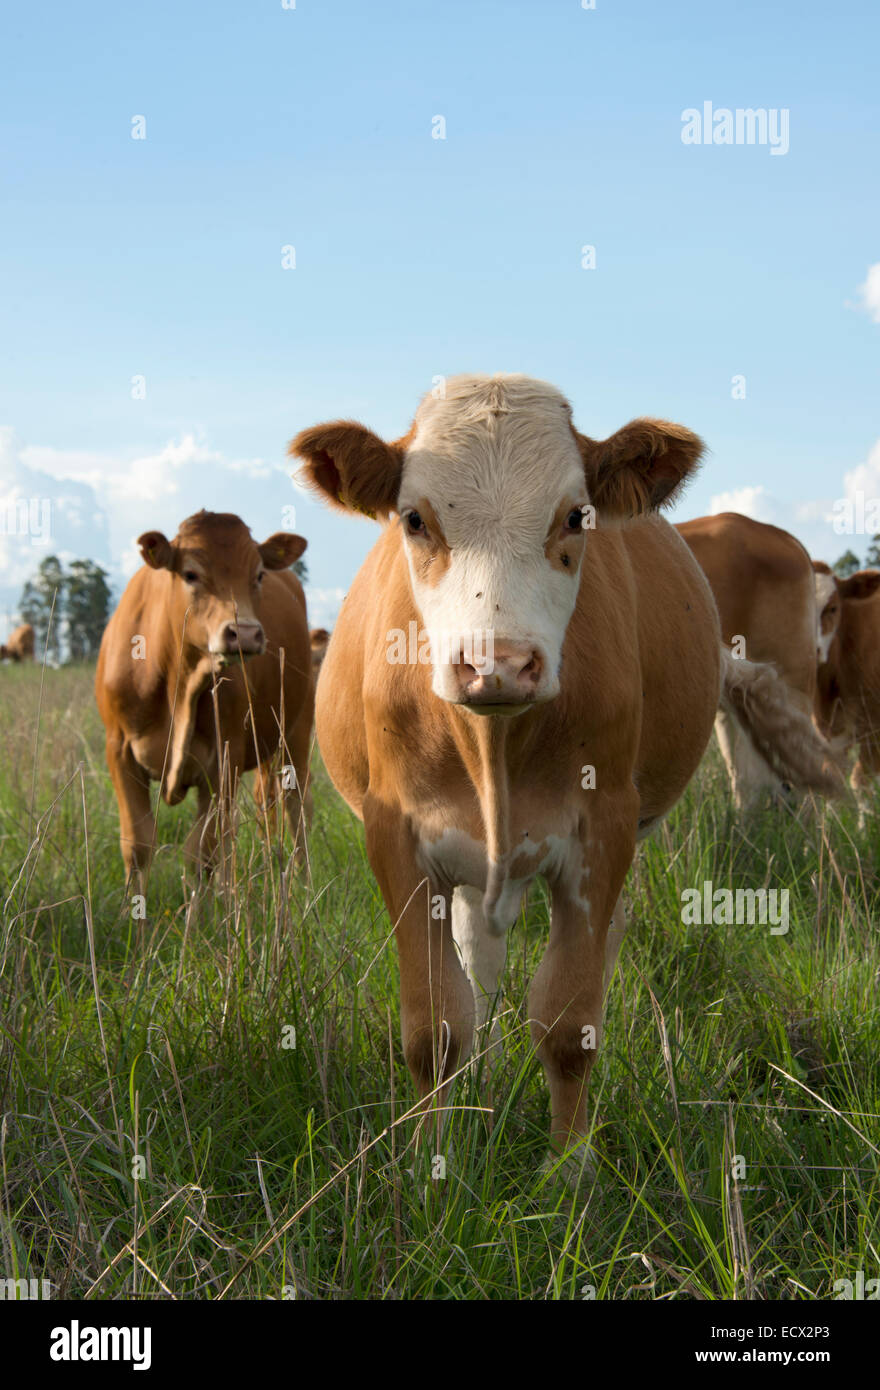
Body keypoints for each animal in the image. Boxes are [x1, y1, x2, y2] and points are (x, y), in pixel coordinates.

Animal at [96, 510, 314, 879]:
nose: (245, 633)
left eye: (258, 575)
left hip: (296, 730)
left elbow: (202, 851)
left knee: (294, 803)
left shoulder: (225, 758)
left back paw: (300, 878)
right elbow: (137, 846)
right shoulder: (119, 749)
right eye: (190, 574)